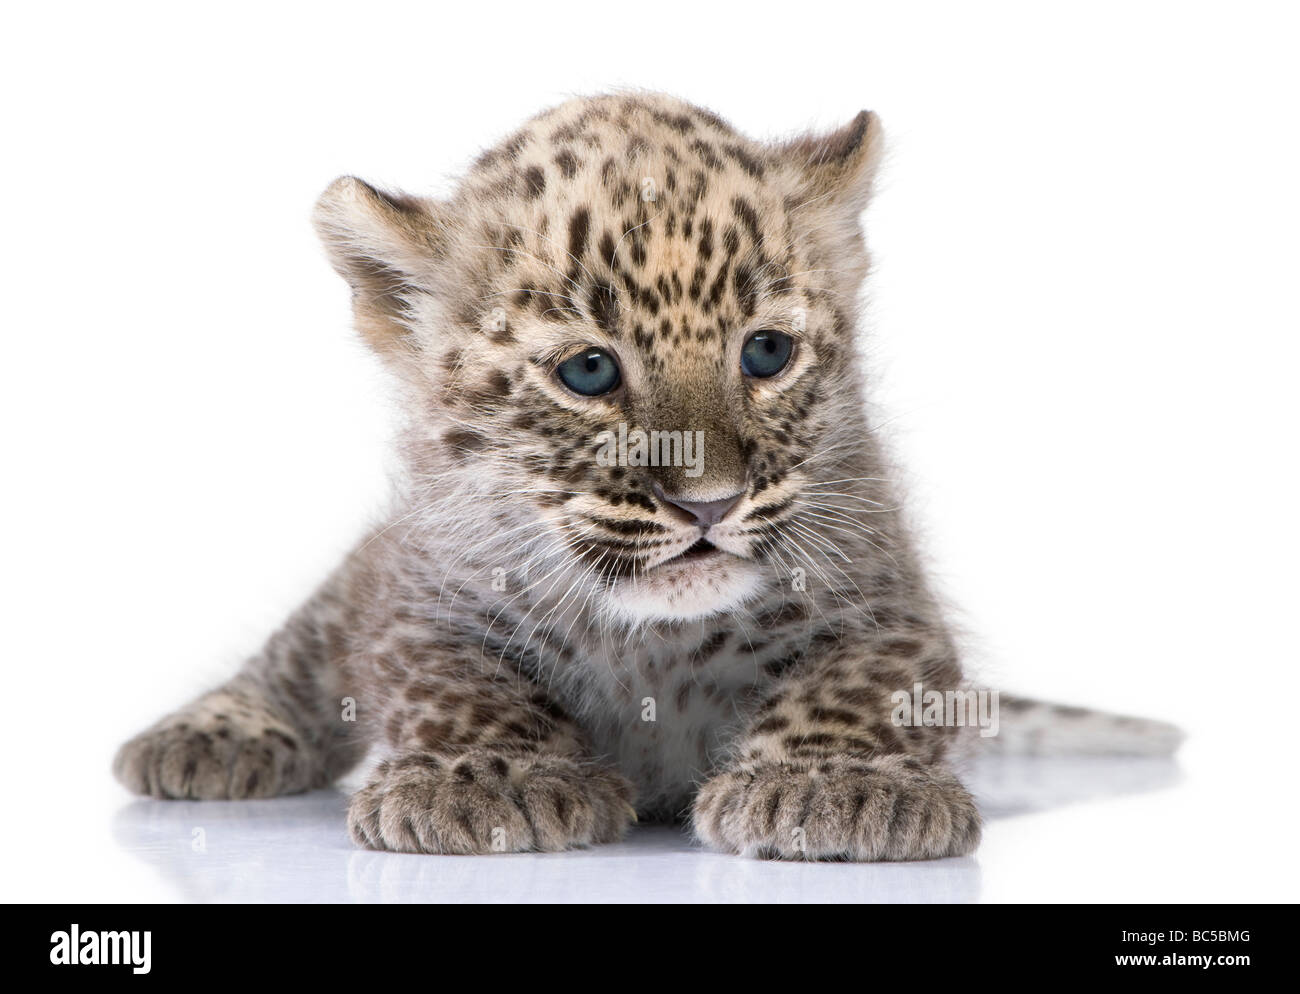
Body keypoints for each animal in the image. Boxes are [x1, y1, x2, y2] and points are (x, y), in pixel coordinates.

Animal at [113, 92, 1181, 860]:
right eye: (590, 371)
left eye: (765, 353)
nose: (709, 503)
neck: (654, 643)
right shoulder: (420, 597)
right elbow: (449, 677)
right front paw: (491, 779)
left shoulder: (889, 595)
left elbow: (867, 679)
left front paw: (834, 786)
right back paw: (204, 738)